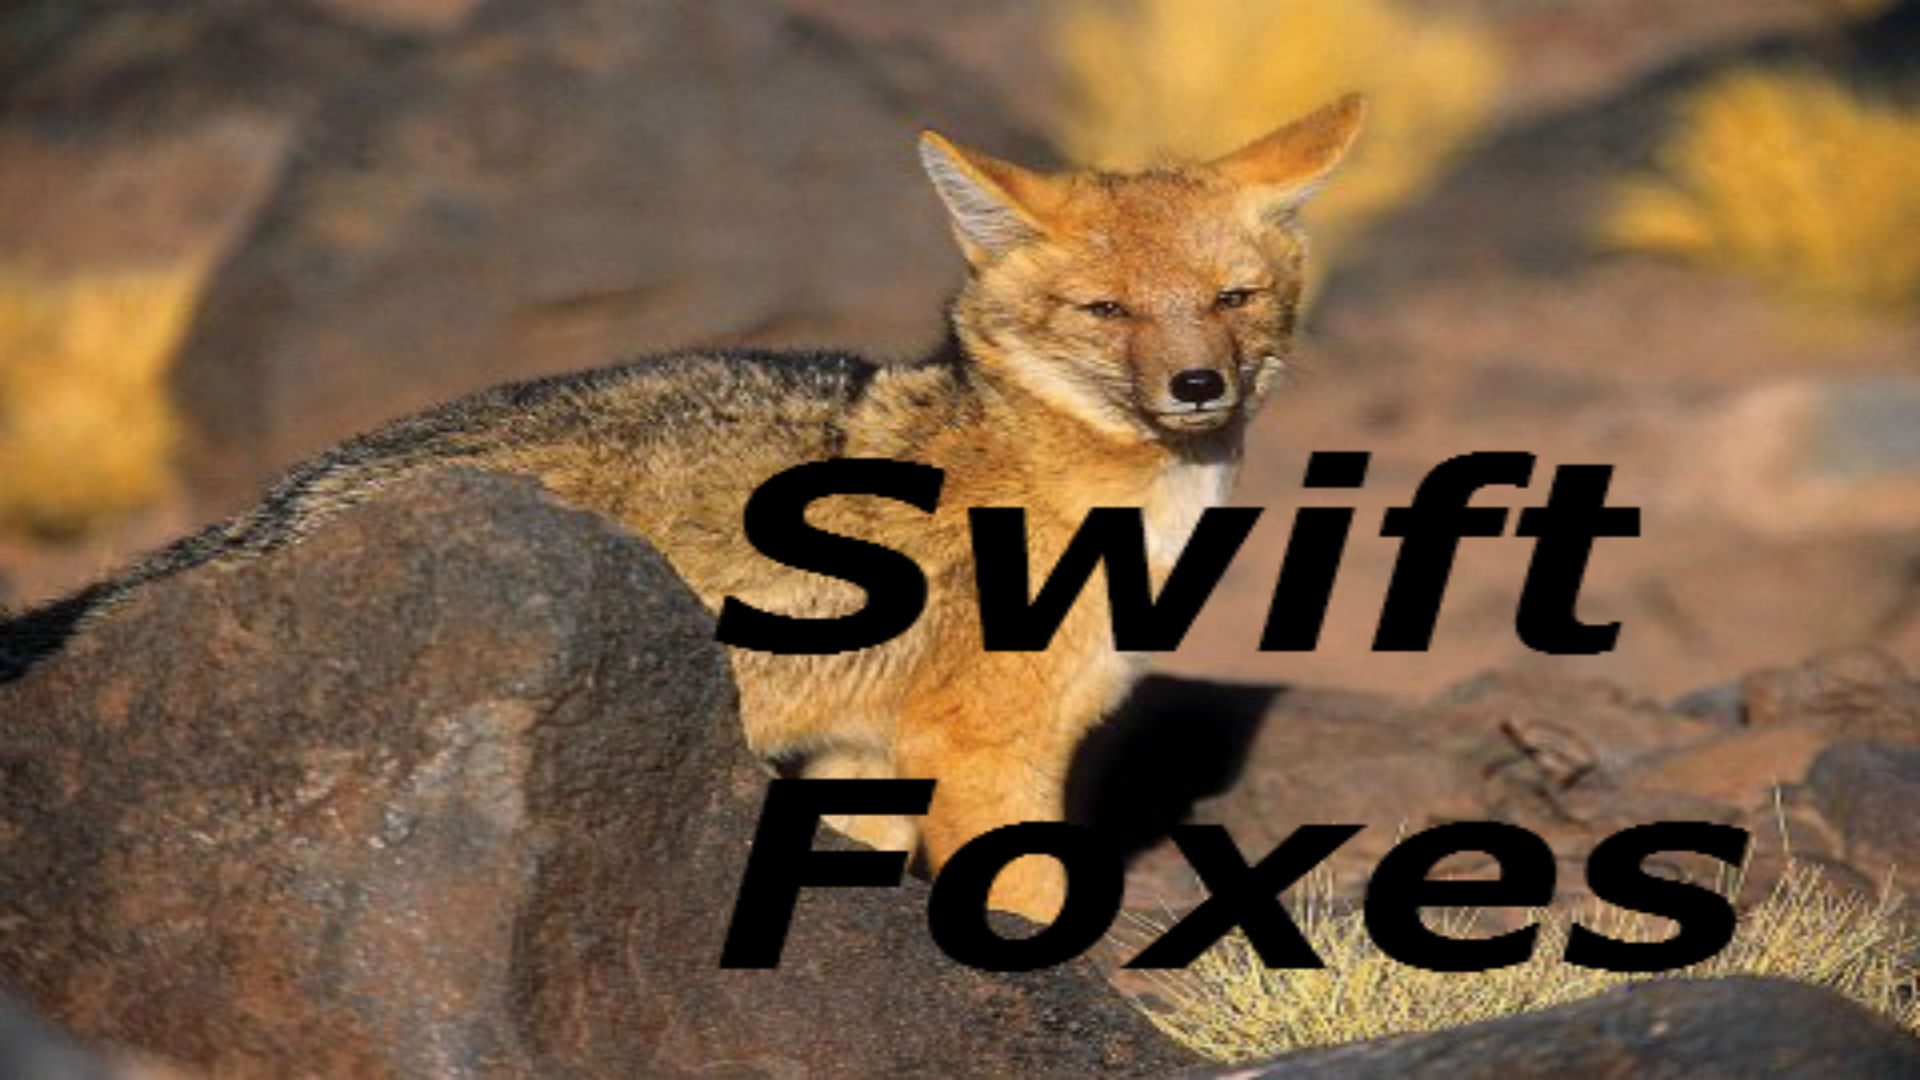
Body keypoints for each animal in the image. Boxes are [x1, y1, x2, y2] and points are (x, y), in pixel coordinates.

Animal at [0, 95, 1365, 921]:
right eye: (1108, 312)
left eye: (1233, 298)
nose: (1198, 387)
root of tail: (281, 501)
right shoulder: (987, 755)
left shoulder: (863, 757)